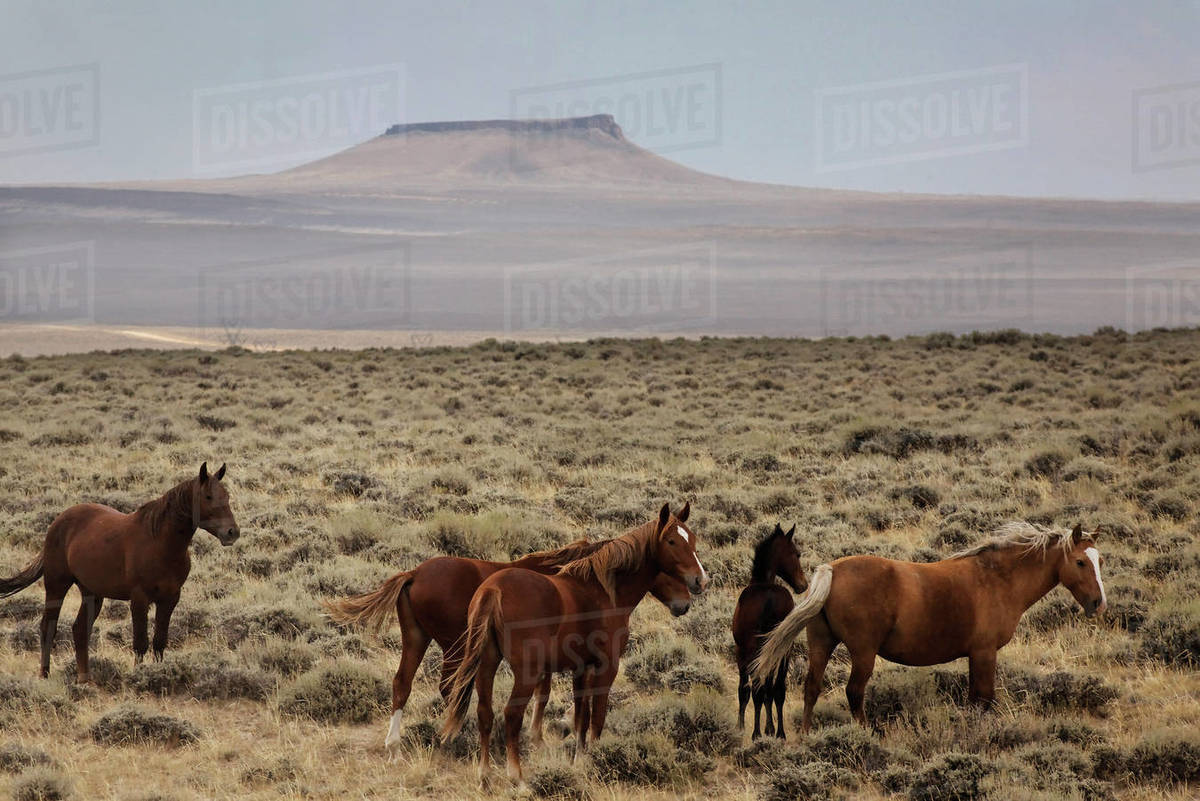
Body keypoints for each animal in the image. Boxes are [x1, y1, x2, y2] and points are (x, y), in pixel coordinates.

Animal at [0, 463, 240, 683]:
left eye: (227, 496)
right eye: (208, 496)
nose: (232, 532)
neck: (160, 543)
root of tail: (58, 522)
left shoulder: (170, 598)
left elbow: (159, 642)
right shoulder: (139, 598)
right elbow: (140, 643)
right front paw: (139, 677)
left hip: (92, 593)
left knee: (79, 630)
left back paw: (84, 680)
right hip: (56, 585)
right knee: (48, 627)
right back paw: (45, 675)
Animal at [325, 537, 693, 754]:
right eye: (671, 568)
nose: (685, 603)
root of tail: (414, 573)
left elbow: (543, 693)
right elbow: (543, 695)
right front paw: (536, 737)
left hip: (416, 638)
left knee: (403, 683)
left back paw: (395, 741)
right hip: (453, 647)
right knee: (449, 688)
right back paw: (461, 736)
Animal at [440, 502, 707, 788]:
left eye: (692, 539)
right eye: (671, 541)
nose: (699, 581)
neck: (602, 591)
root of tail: (493, 590)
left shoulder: (580, 669)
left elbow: (581, 717)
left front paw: (579, 761)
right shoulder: (606, 667)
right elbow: (597, 717)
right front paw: (595, 761)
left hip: (487, 664)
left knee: (485, 713)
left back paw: (485, 776)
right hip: (526, 673)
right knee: (511, 715)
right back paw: (517, 778)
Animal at [733, 523, 807, 740]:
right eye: (797, 554)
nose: (803, 585)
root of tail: (770, 599)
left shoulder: (741, 653)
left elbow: (744, 691)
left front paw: (741, 727)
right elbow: (769, 691)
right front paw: (770, 728)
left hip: (755, 650)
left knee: (757, 689)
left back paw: (756, 734)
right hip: (784, 651)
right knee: (778, 689)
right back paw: (780, 733)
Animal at [751, 522, 1106, 732]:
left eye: (1099, 560)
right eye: (1080, 562)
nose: (1098, 603)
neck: (998, 578)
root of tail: (832, 570)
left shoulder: (976, 656)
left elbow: (975, 698)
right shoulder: (984, 653)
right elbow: (984, 698)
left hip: (821, 644)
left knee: (811, 687)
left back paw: (805, 735)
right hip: (863, 652)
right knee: (854, 692)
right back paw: (867, 734)